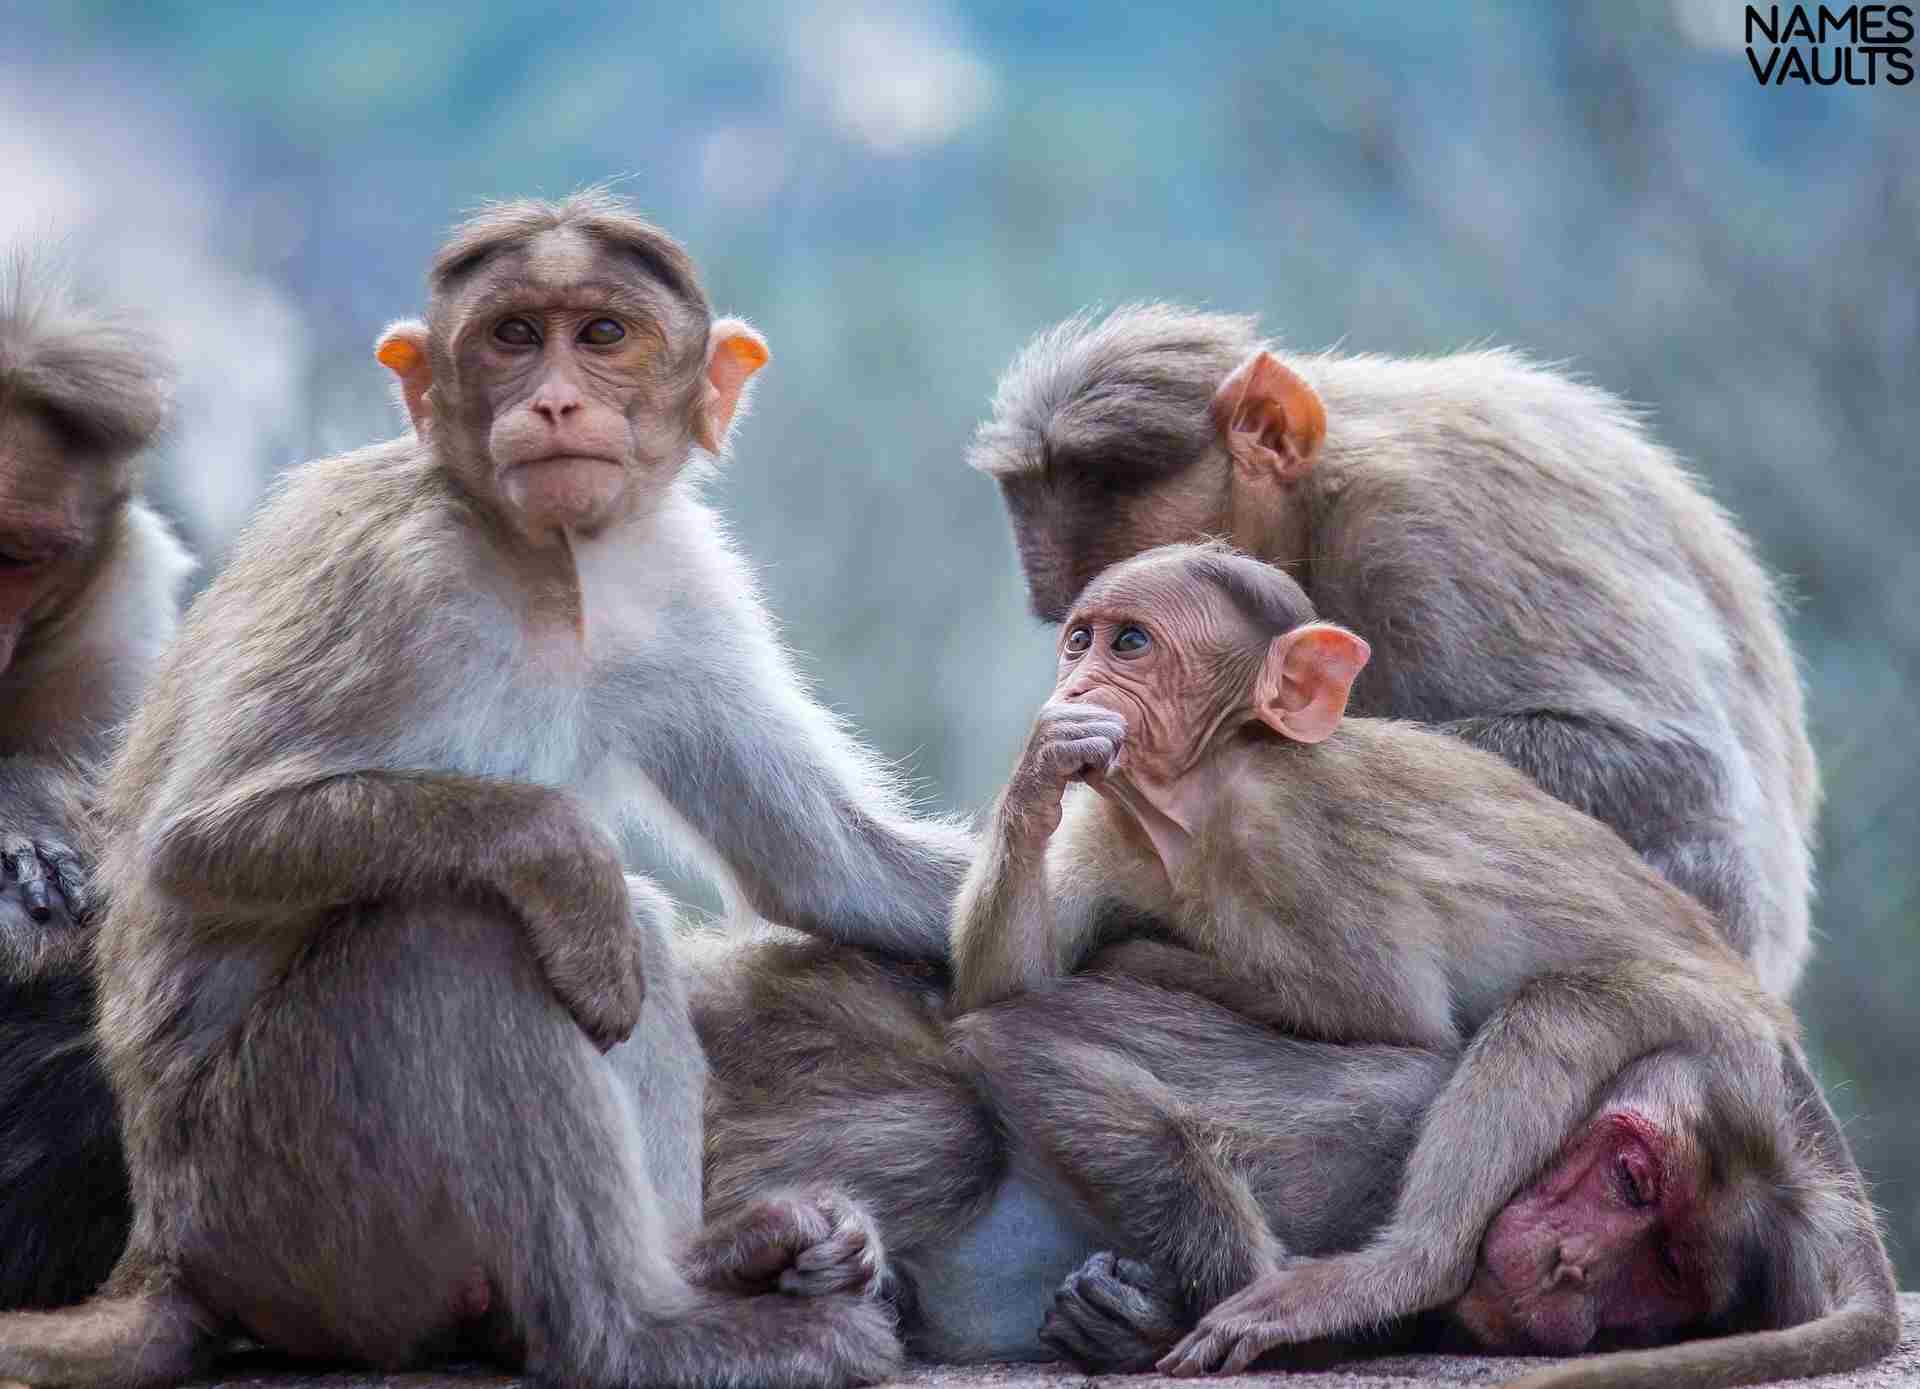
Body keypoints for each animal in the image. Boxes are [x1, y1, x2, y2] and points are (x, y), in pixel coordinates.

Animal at [0, 191, 982, 1388]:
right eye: (514, 336)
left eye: (603, 335)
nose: (555, 401)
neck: (540, 564)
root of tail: (160, 1254)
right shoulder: (393, 575)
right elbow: (194, 841)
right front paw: (559, 848)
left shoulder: (674, 575)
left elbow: (823, 866)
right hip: (288, 1204)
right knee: (462, 931)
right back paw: (636, 1336)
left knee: (603, 937)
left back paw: (708, 1266)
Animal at [943, 542, 1897, 1382]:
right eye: (1081, 638)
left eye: (1131, 643)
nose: (1075, 681)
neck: (1202, 798)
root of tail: (1778, 1034)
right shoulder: (1109, 828)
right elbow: (1010, 978)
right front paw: (1041, 768)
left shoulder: (1300, 838)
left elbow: (1392, 1019)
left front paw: (1142, 953)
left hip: (1709, 1018)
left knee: (1564, 1008)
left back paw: (1404, 1268)